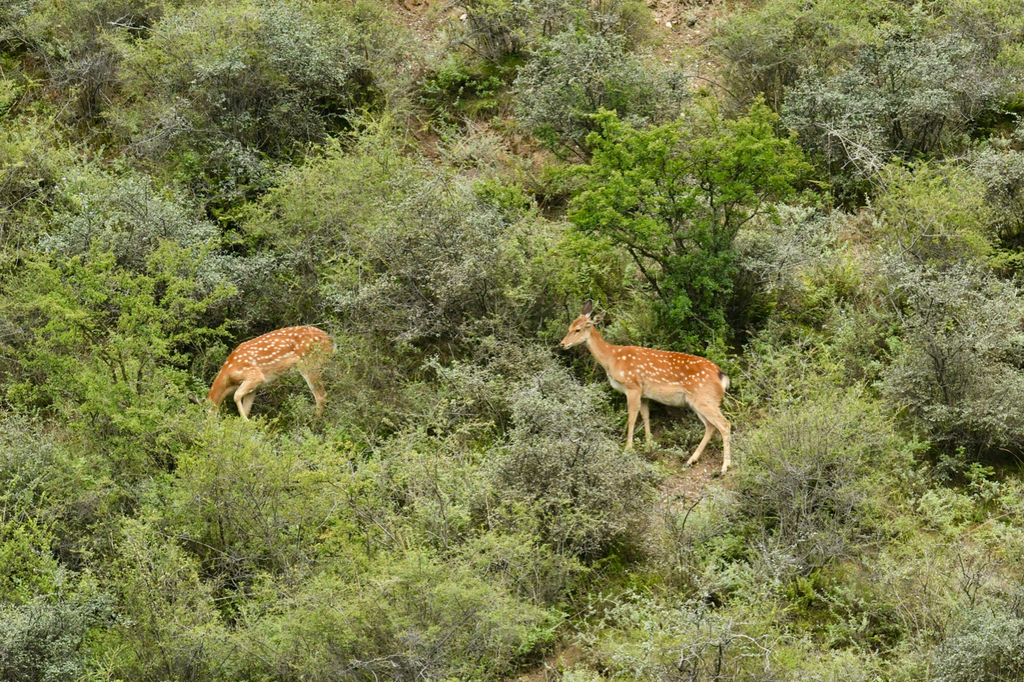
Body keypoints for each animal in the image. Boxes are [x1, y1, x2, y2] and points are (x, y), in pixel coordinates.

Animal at [558, 301, 732, 474]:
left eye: (578, 329)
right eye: (569, 327)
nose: (562, 344)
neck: (612, 358)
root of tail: (722, 376)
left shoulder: (632, 386)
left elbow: (632, 416)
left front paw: (628, 449)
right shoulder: (645, 394)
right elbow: (646, 416)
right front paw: (649, 447)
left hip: (703, 397)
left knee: (724, 424)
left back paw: (725, 467)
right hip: (698, 401)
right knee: (710, 426)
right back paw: (691, 460)